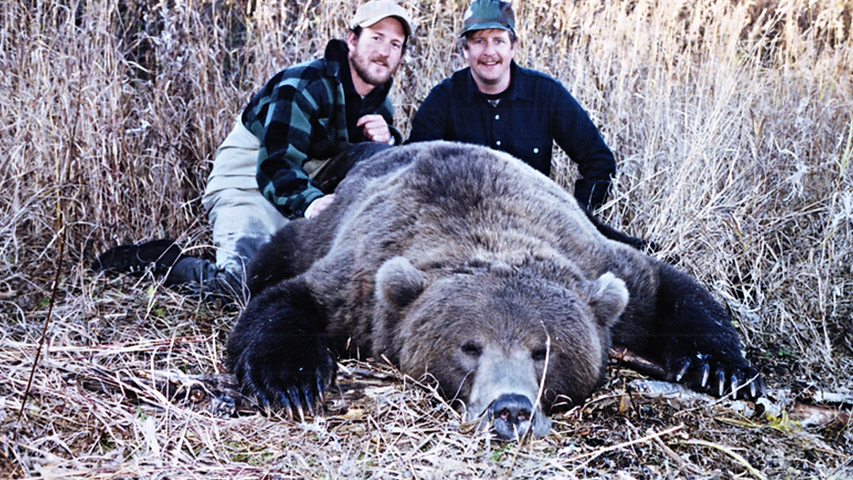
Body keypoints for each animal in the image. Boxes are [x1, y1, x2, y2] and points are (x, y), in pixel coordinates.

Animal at [226, 141, 763, 440]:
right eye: (469, 347)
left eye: (544, 350)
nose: (511, 409)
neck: (487, 236)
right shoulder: (360, 282)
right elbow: (293, 299)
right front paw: (291, 379)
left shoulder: (593, 259)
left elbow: (663, 285)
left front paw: (719, 367)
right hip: (312, 228)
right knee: (269, 258)